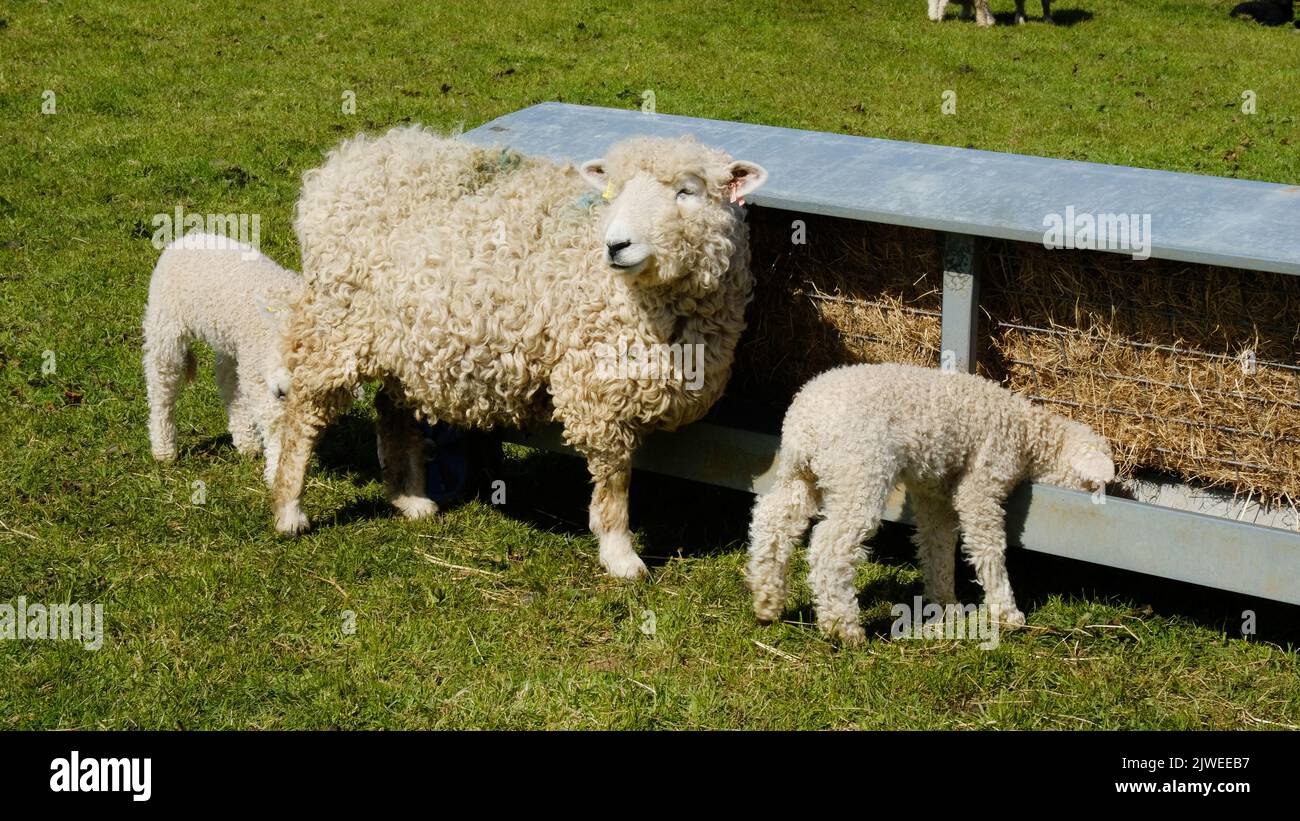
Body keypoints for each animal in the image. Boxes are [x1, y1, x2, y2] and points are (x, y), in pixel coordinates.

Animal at [143, 232, 297, 486]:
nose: (282, 390)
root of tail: (189, 237)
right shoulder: (258, 367)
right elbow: (275, 421)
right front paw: (278, 473)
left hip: (229, 340)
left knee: (230, 385)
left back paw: (246, 442)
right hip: (166, 325)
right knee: (161, 388)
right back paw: (164, 449)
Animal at [276, 126, 768, 579]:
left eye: (687, 191)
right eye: (614, 190)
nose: (616, 245)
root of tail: (349, 159)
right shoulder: (594, 388)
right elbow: (614, 480)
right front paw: (620, 555)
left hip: (405, 339)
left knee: (390, 409)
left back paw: (410, 498)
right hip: (336, 321)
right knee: (304, 412)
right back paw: (289, 509)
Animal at [746, 363, 1115, 645]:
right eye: (1093, 484)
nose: (1100, 501)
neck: (1026, 431)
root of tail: (805, 422)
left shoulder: (933, 493)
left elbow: (938, 544)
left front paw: (944, 602)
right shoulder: (982, 482)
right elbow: (988, 547)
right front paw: (1005, 611)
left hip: (800, 473)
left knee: (772, 520)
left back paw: (767, 600)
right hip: (860, 469)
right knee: (830, 548)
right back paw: (844, 627)